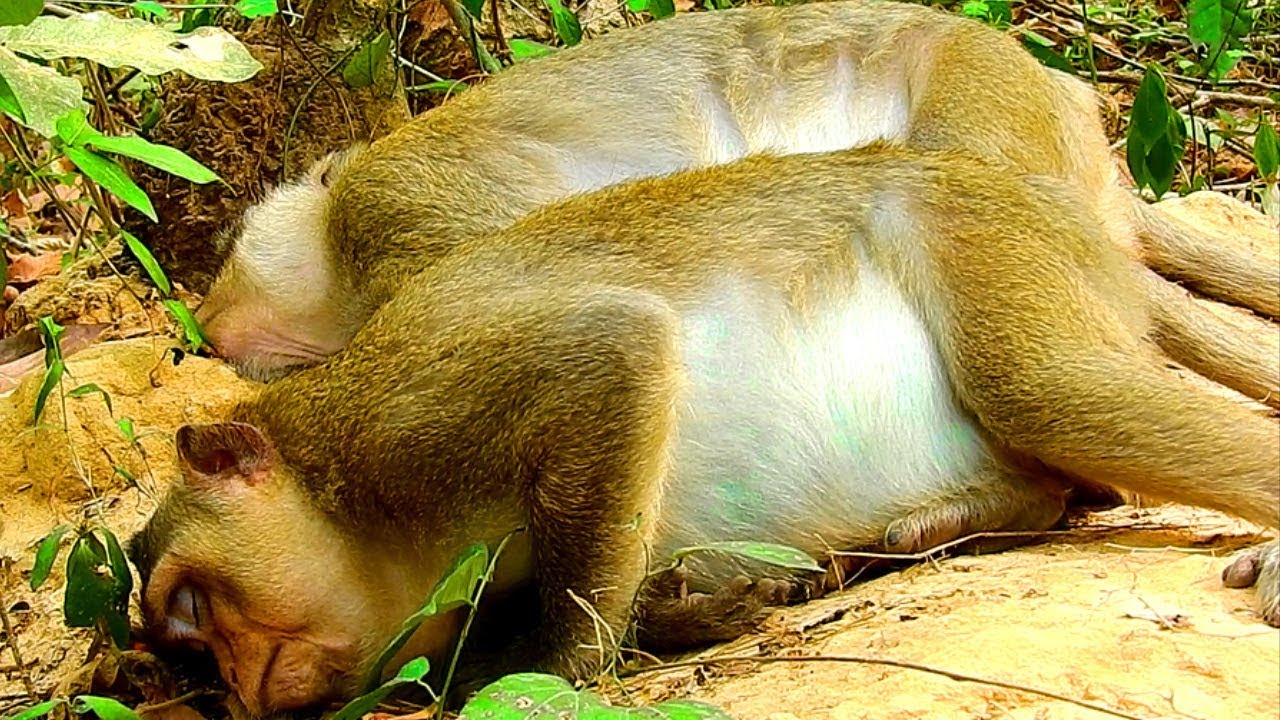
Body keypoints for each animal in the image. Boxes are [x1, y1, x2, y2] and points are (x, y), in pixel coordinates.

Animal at [131, 145, 1280, 717]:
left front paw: (563, 671)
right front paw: (701, 608)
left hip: (988, 245)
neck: (345, 502)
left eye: (191, 611)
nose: (231, 690)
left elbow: (611, 350)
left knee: (1045, 388)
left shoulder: (403, 420)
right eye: (190, 661)